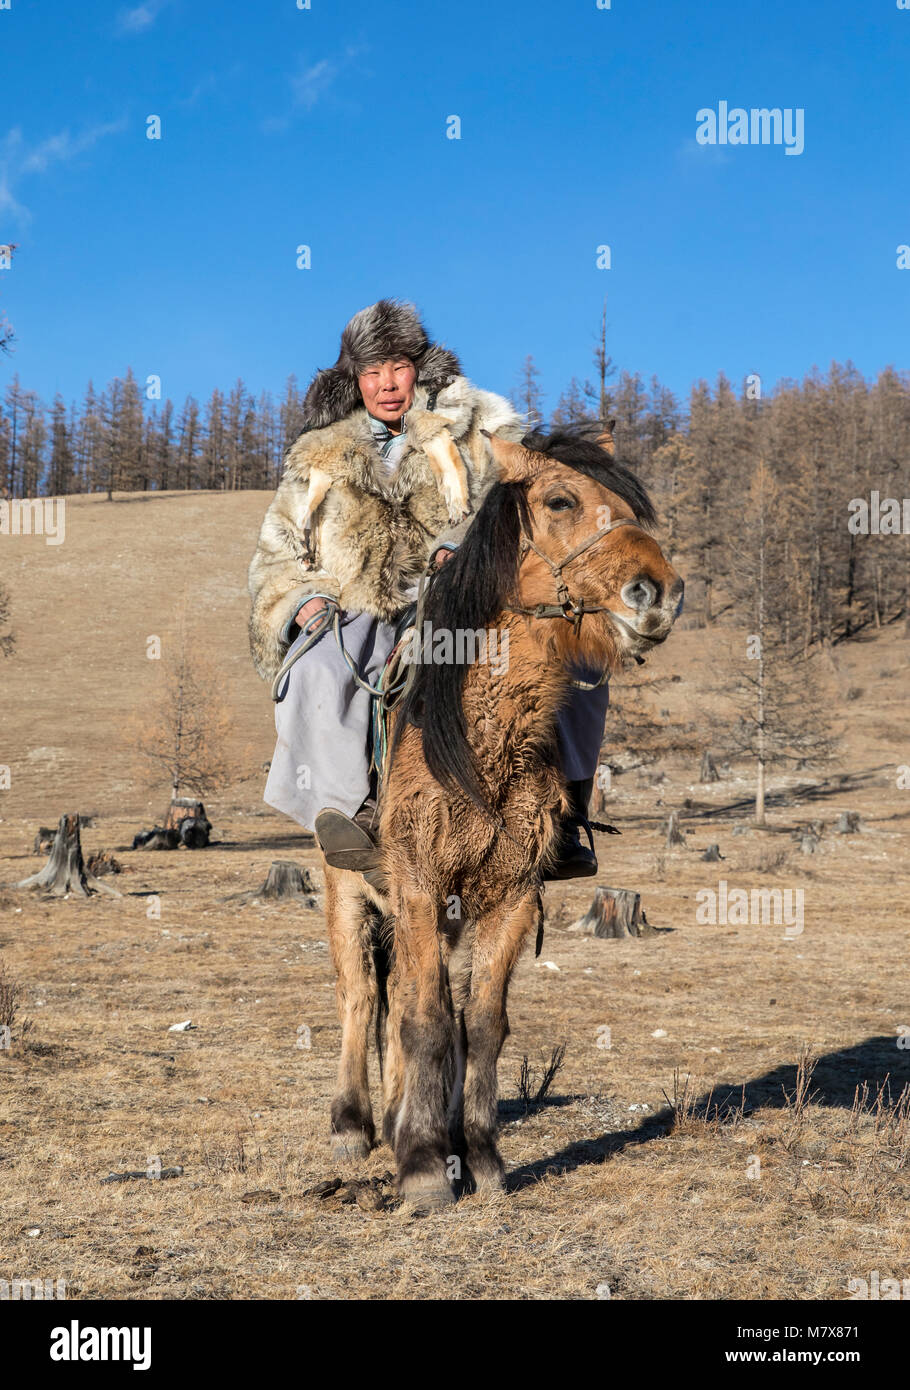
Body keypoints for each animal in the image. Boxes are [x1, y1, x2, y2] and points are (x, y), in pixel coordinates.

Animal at [320, 428, 683, 1209]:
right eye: (561, 501)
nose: (661, 594)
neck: (481, 749)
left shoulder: (512, 897)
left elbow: (480, 1026)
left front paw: (478, 1158)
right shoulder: (420, 885)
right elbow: (427, 1021)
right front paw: (426, 1168)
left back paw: (395, 1118)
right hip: (347, 895)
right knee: (363, 997)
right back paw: (354, 1125)